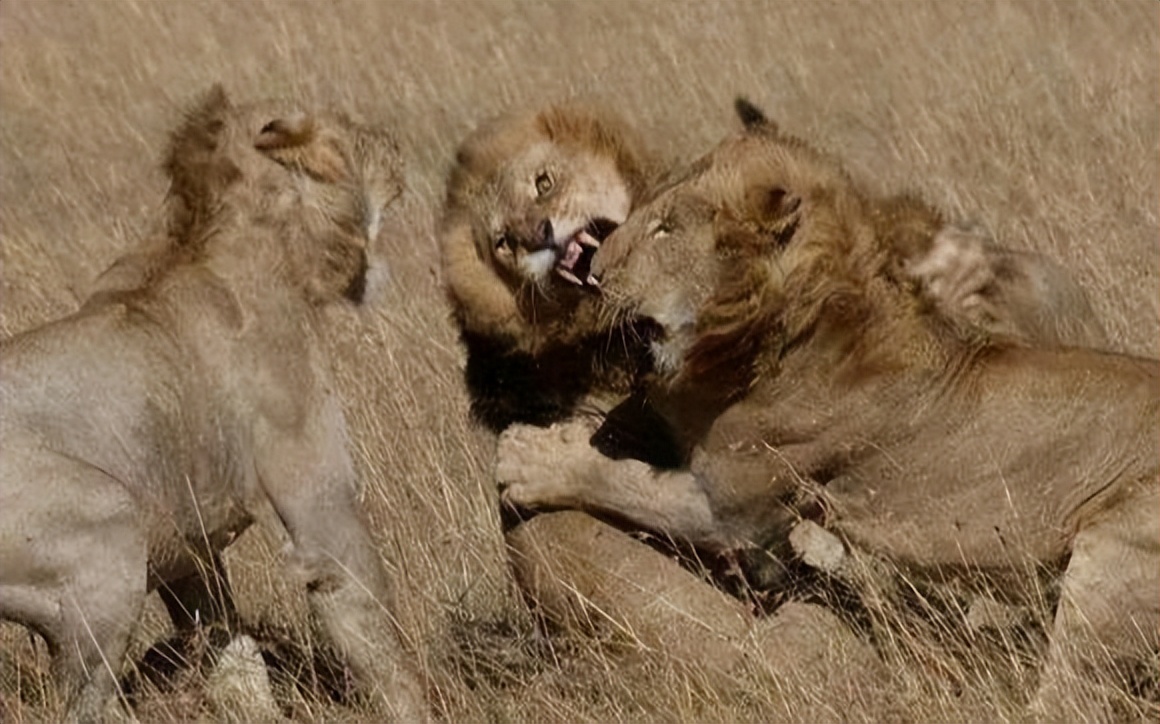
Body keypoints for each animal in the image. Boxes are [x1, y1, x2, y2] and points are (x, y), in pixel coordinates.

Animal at [0, 86, 429, 722]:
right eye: (353, 130)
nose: (396, 143)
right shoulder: (318, 500)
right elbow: (375, 633)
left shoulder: (189, 539)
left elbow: (233, 650)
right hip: (110, 523)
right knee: (85, 703)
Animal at [495, 103, 1158, 714]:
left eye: (666, 229)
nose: (595, 271)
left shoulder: (741, 512)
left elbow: (627, 482)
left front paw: (530, 458)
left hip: (1111, 559)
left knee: (1067, 698)